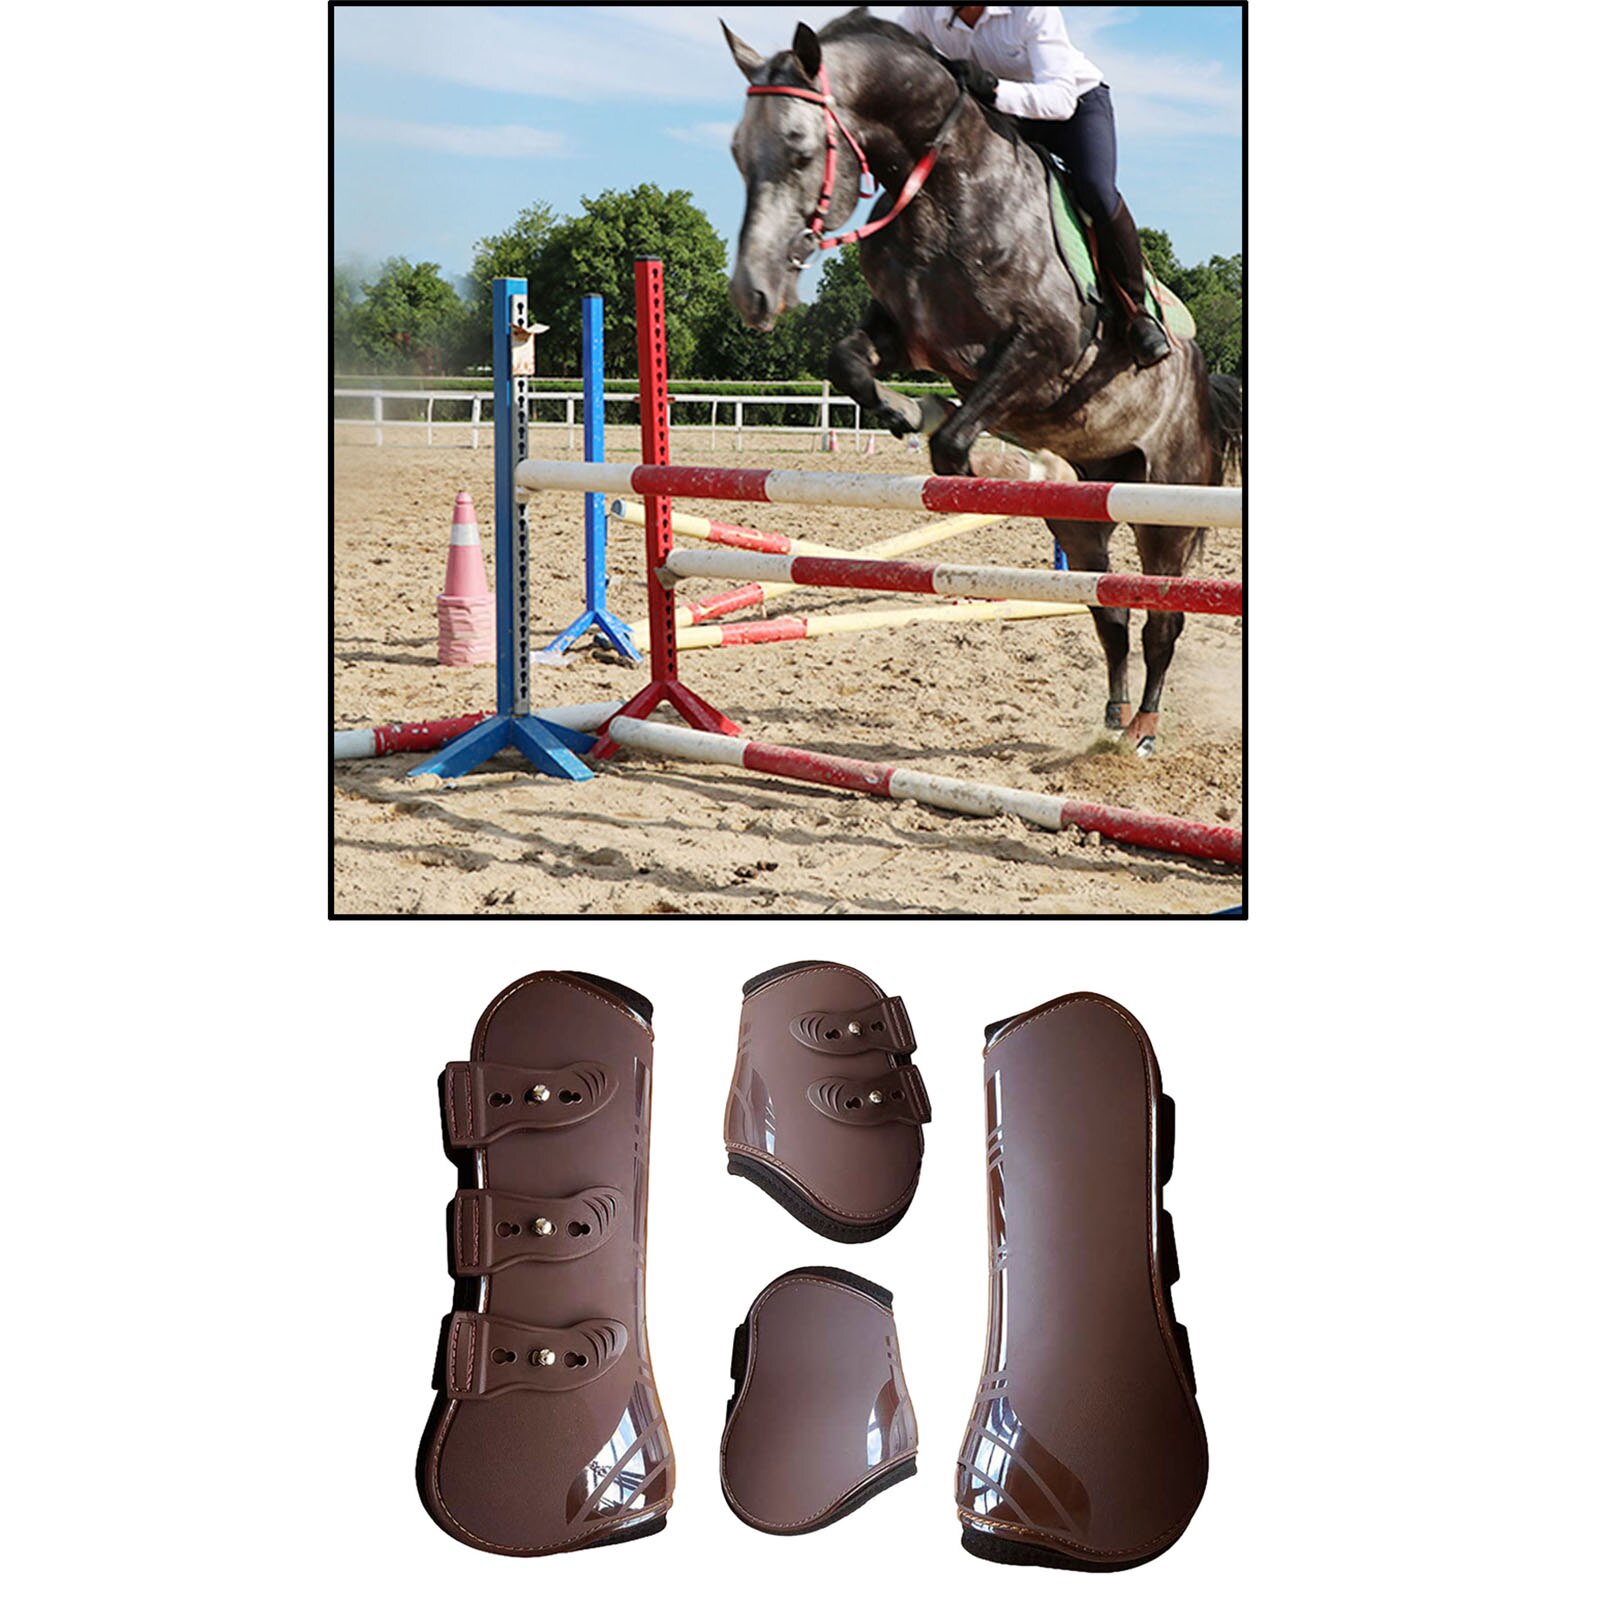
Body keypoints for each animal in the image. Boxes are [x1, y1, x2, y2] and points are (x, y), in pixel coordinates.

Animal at [722, 11, 1242, 755]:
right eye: (738, 153)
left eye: (799, 152)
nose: (753, 295)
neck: (946, 181)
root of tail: (1202, 381)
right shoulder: (911, 334)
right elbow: (849, 363)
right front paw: (907, 411)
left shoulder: (1044, 350)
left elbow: (956, 442)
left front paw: (968, 449)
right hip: (1087, 512)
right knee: (1111, 614)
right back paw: (1112, 720)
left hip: (1164, 507)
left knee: (1162, 620)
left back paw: (1143, 731)